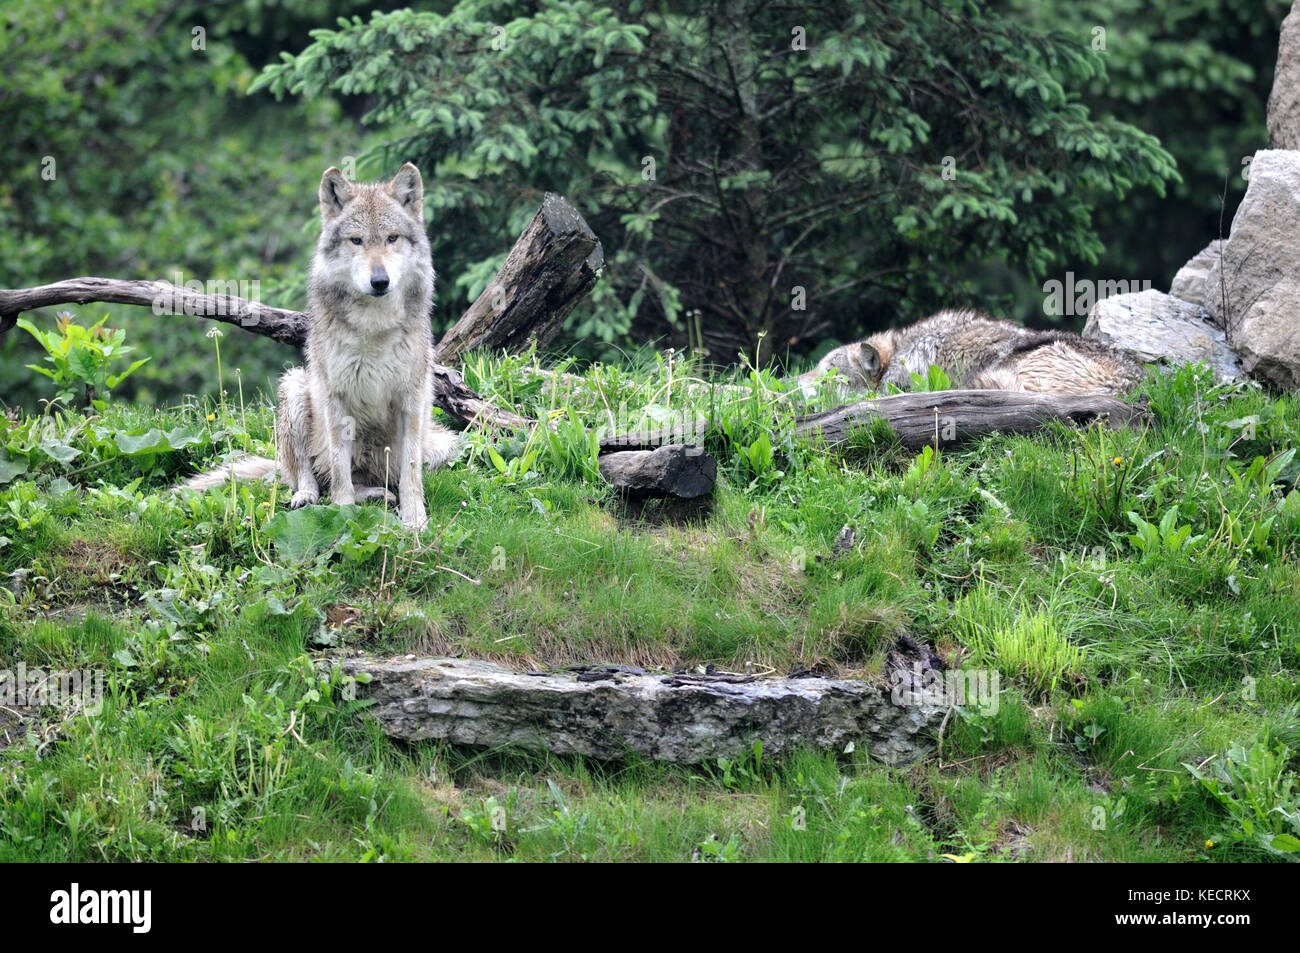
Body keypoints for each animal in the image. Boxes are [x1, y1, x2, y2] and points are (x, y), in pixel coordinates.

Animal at [182, 163, 458, 531]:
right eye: (356, 240)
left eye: (391, 238)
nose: (380, 281)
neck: (374, 327)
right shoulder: (335, 396)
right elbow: (339, 472)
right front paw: (341, 515)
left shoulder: (411, 398)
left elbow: (411, 474)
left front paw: (414, 520)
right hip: (296, 388)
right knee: (312, 476)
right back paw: (310, 497)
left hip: (442, 442)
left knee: (376, 478)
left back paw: (379, 495)